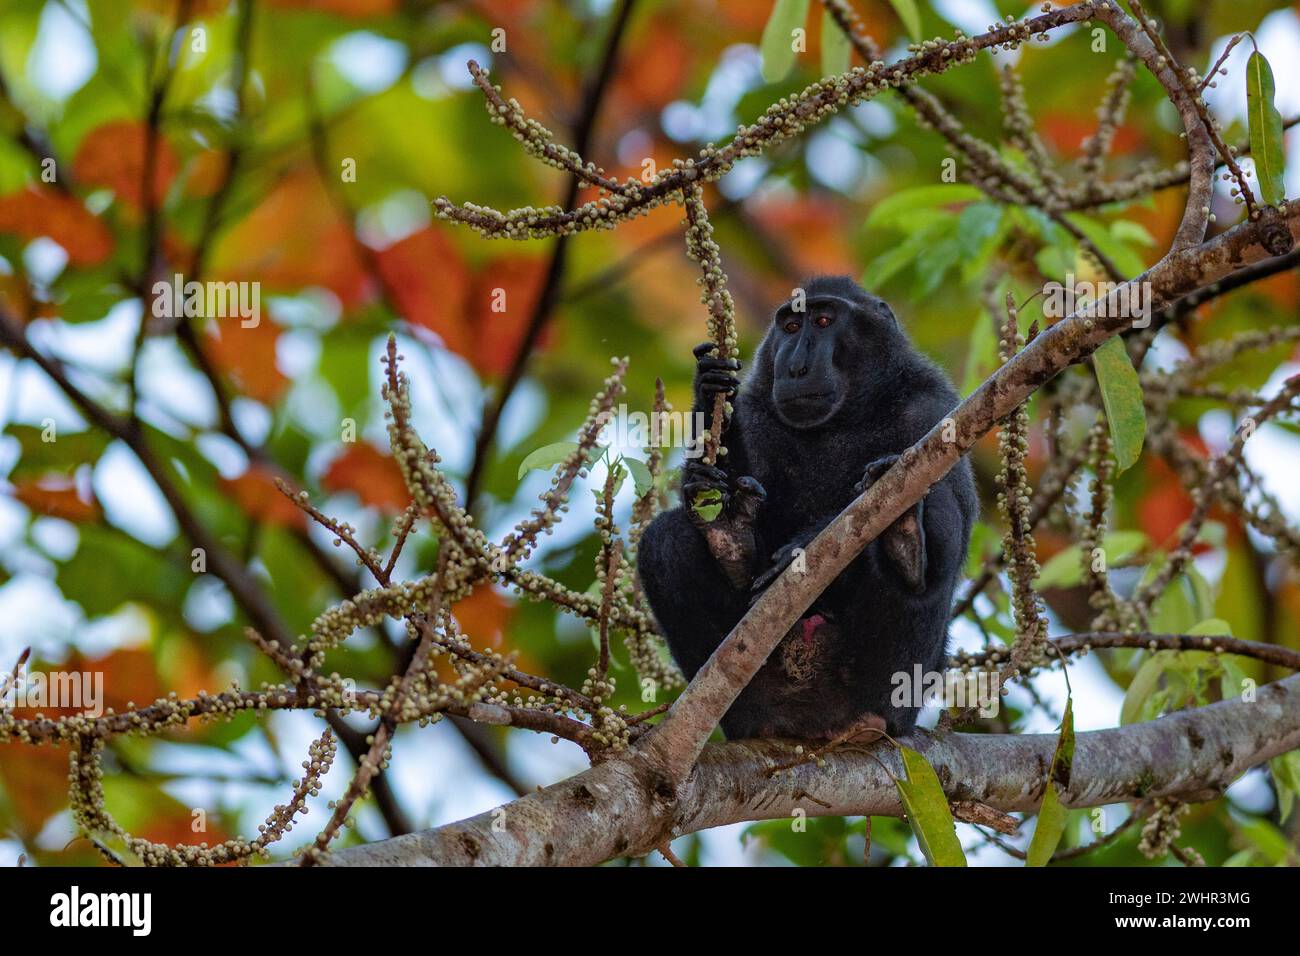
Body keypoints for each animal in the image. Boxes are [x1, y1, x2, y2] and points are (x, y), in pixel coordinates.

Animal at [636, 276, 977, 741]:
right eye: (791, 326)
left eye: (823, 321)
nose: (795, 367)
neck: (842, 419)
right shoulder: (757, 411)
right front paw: (709, 394)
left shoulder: (932, 406)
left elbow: (956, 516)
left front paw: (802, 547)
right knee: (664, 538)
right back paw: (729, 540)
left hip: (895, 682)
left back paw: (904, 540)